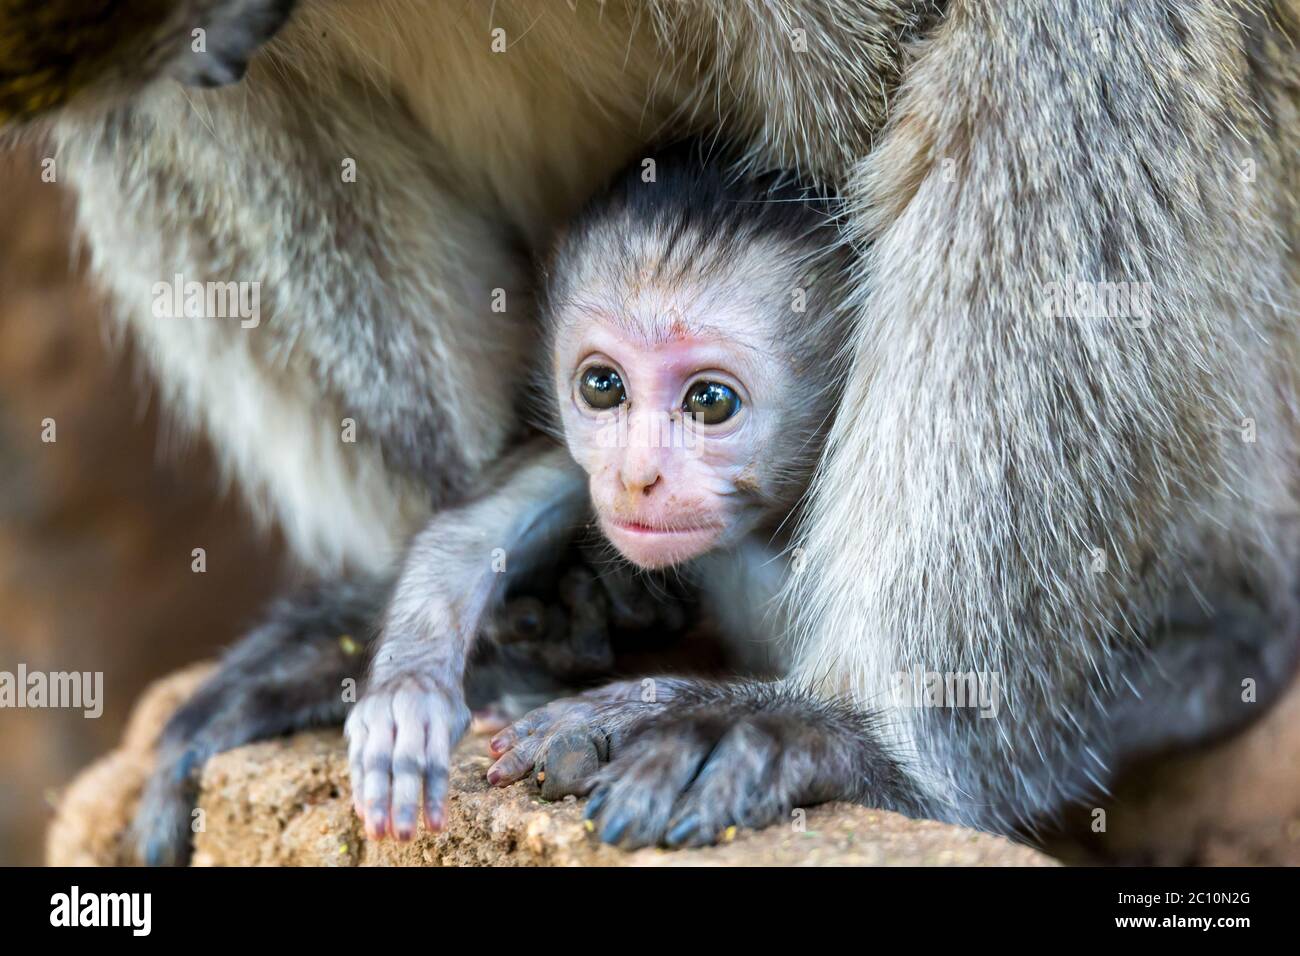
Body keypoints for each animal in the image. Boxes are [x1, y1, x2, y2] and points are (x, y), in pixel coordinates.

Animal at [346, 140, 857, 841]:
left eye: (710, 400)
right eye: (602, 386)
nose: (637, 474)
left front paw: (640, 715)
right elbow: (483, 524)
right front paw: (408, 696)